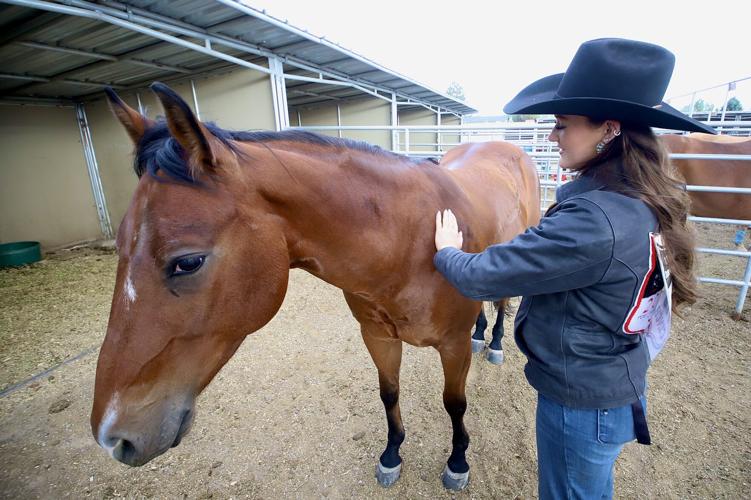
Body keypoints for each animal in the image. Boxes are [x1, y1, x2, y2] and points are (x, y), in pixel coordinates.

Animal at [90, 83, 541, 491]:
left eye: (187, 262)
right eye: (120, 247)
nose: (112, 437)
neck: (411, 240)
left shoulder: (452, 345)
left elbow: (454, 404)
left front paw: (458, 461)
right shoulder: (378, 336)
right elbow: (389, 393)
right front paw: (391, 454)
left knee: (503, 302)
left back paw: (494, 343)